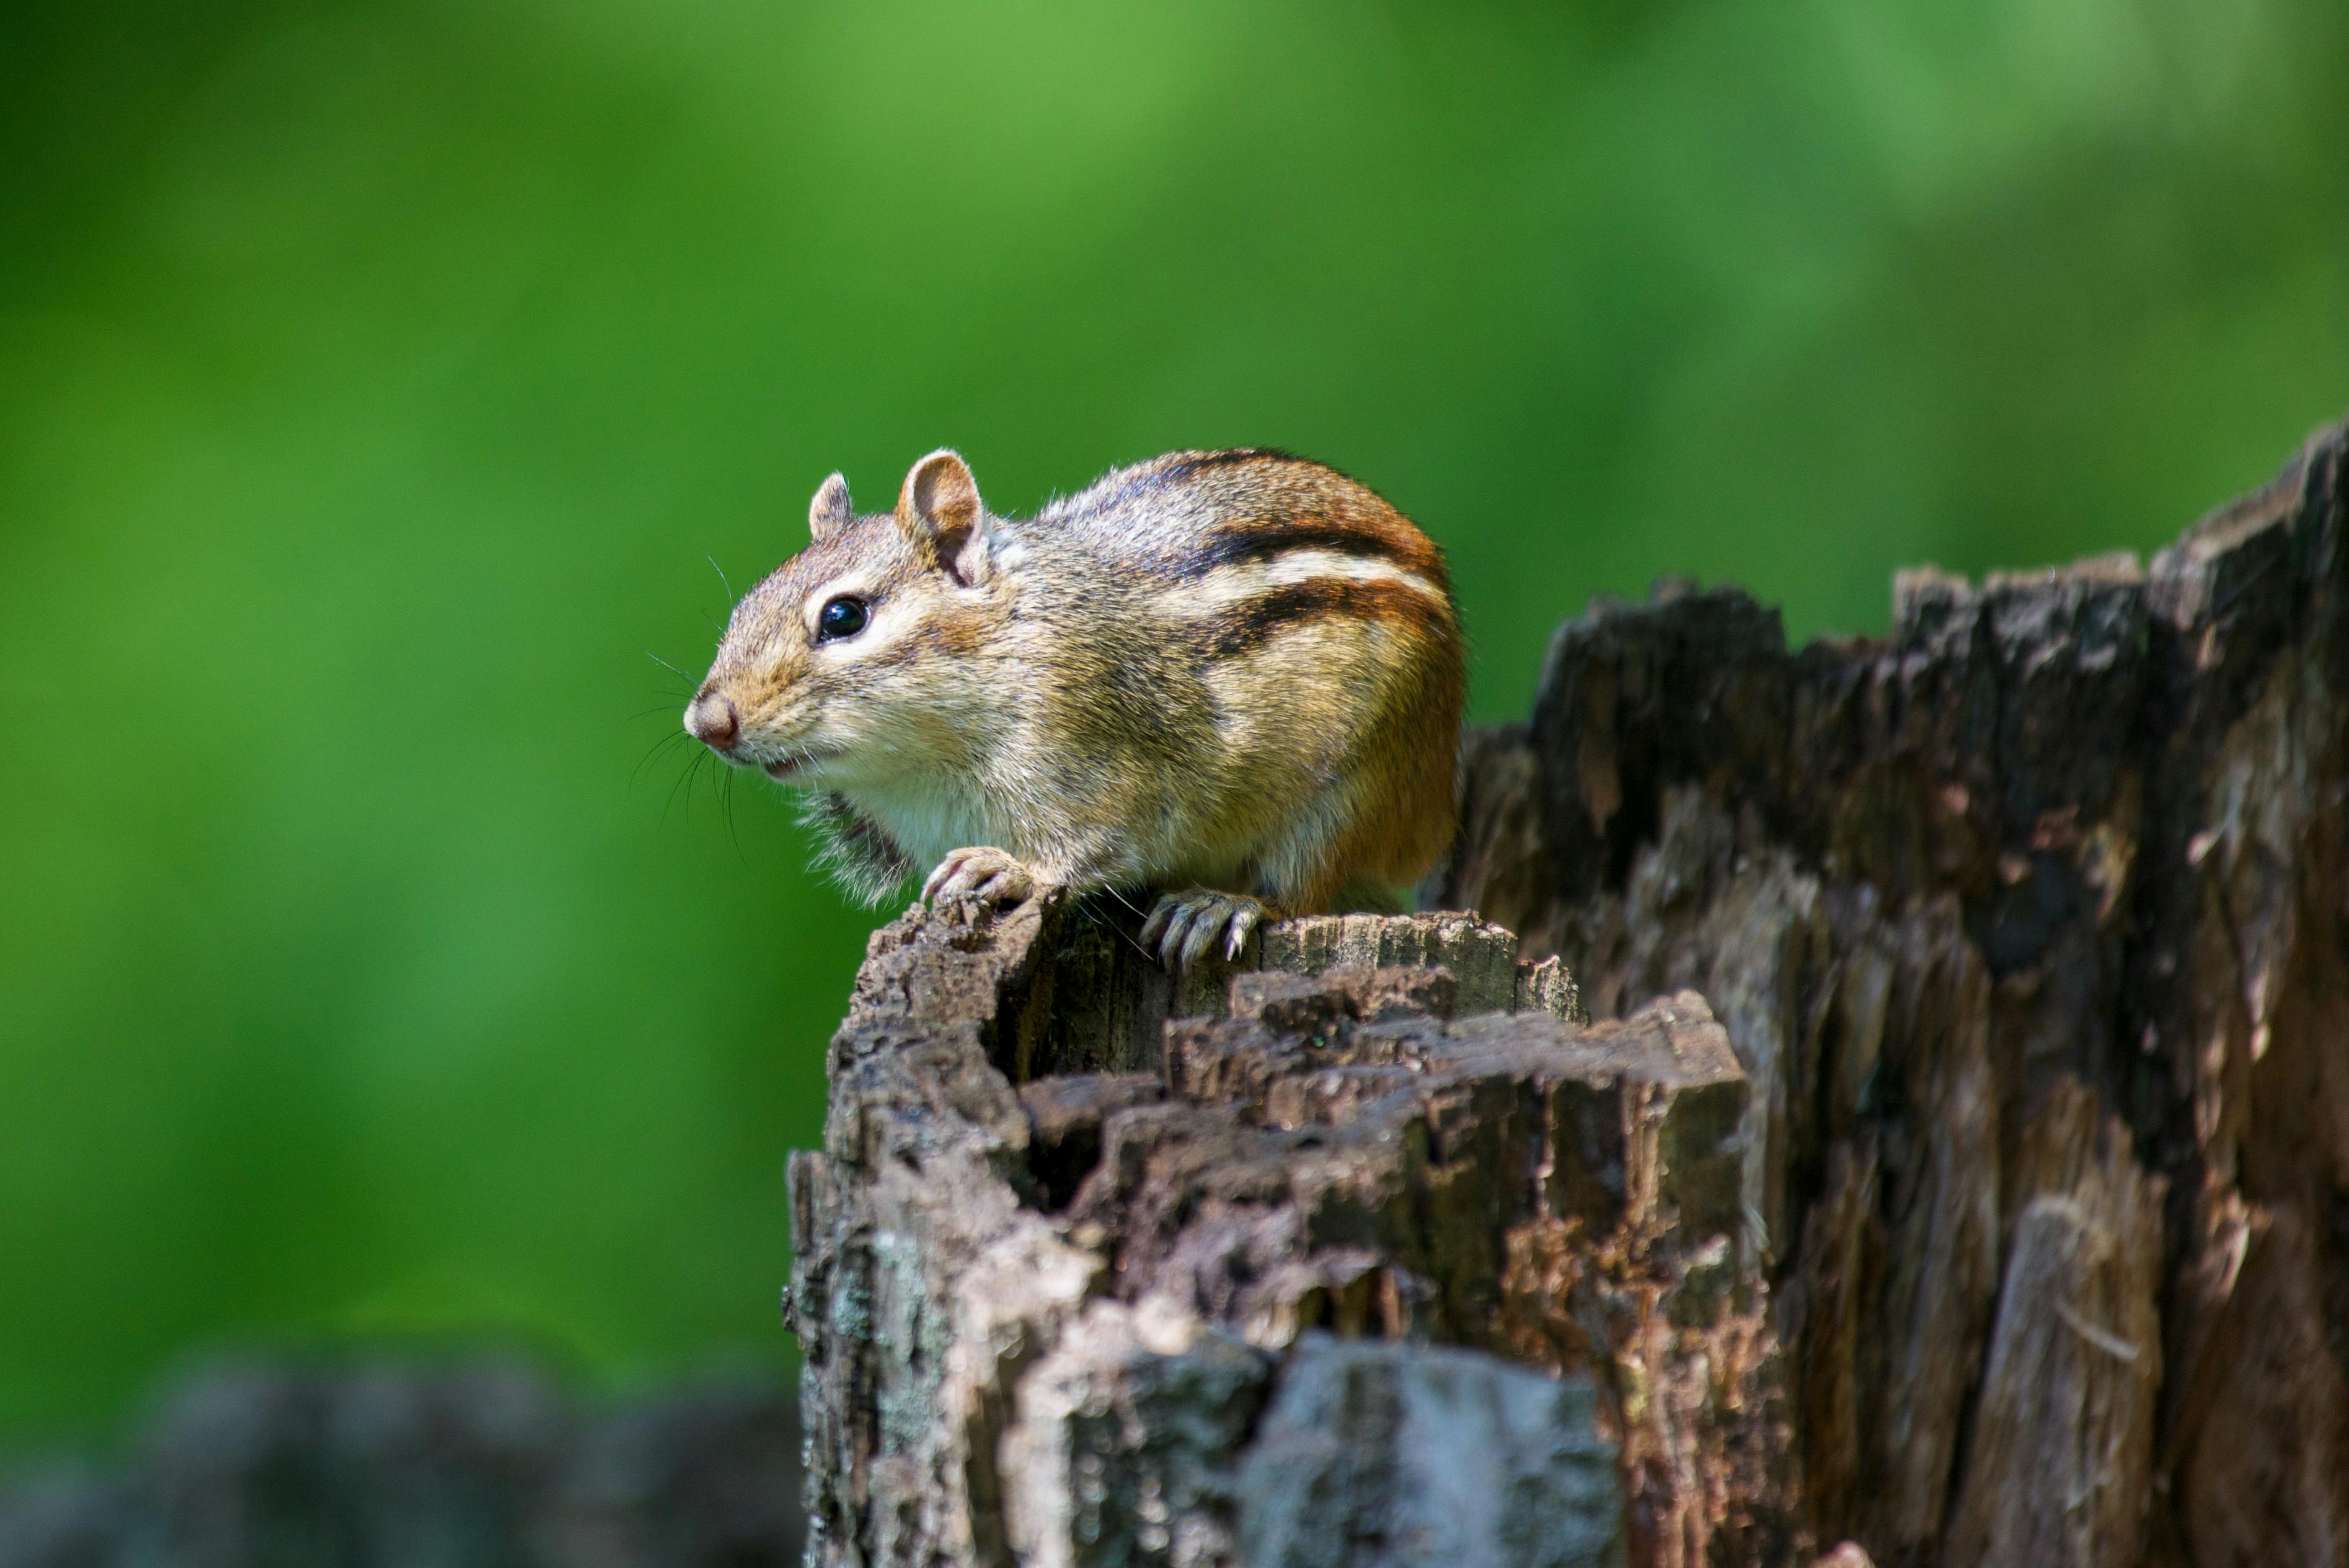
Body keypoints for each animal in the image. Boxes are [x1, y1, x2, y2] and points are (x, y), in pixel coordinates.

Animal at [684, 447, 1465, 968]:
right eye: (745, 605)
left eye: (843, 617)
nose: (708, 722)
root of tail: (1431, 820)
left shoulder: (1114, 769)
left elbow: (1095, 844)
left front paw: (1009, 871)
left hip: (1358, 786)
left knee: (1302, 886)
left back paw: (1219, 905)